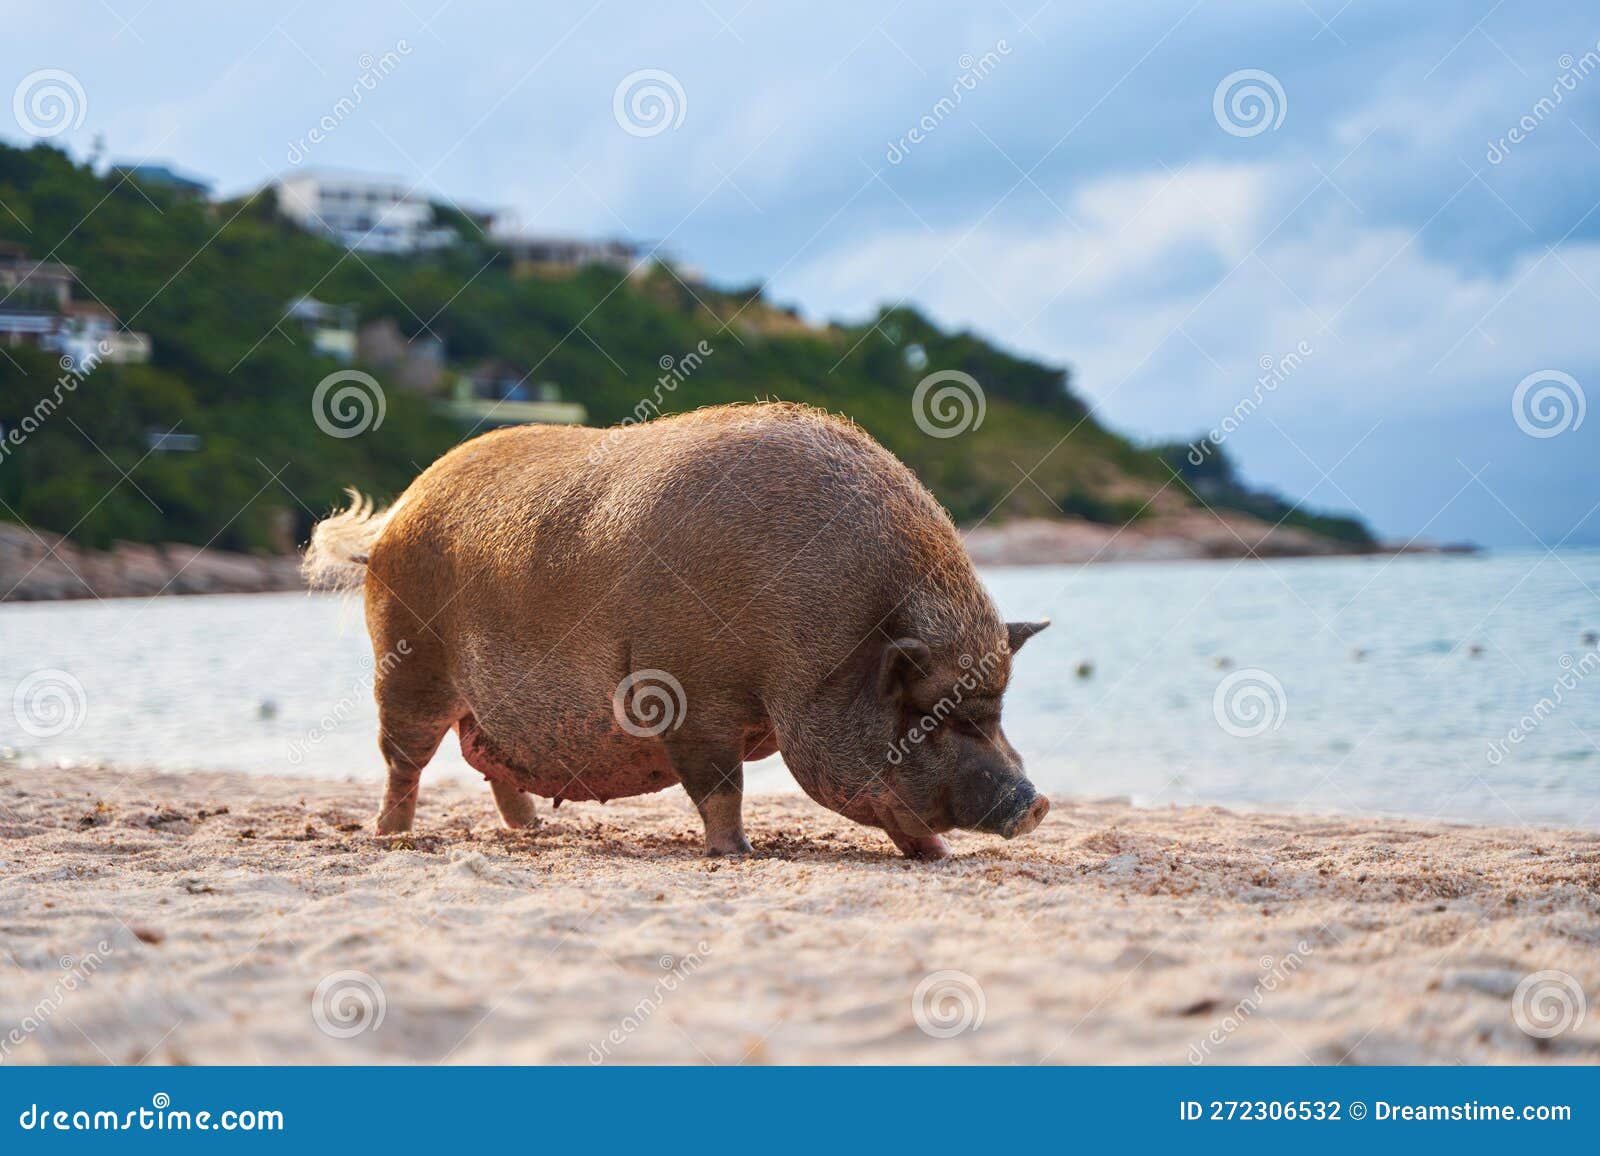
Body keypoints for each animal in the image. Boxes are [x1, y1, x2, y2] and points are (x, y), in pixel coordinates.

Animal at [302, 402, 1050, 859]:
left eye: (996, 713)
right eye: (925, 716)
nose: (1035, 803)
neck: (816, 640)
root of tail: (393, 521)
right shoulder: (692, 693)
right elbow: (720, 785)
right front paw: (737, 853)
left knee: (487, 760)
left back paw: (534, 830)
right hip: (405, 664)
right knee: (405, 759)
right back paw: (391, 837)